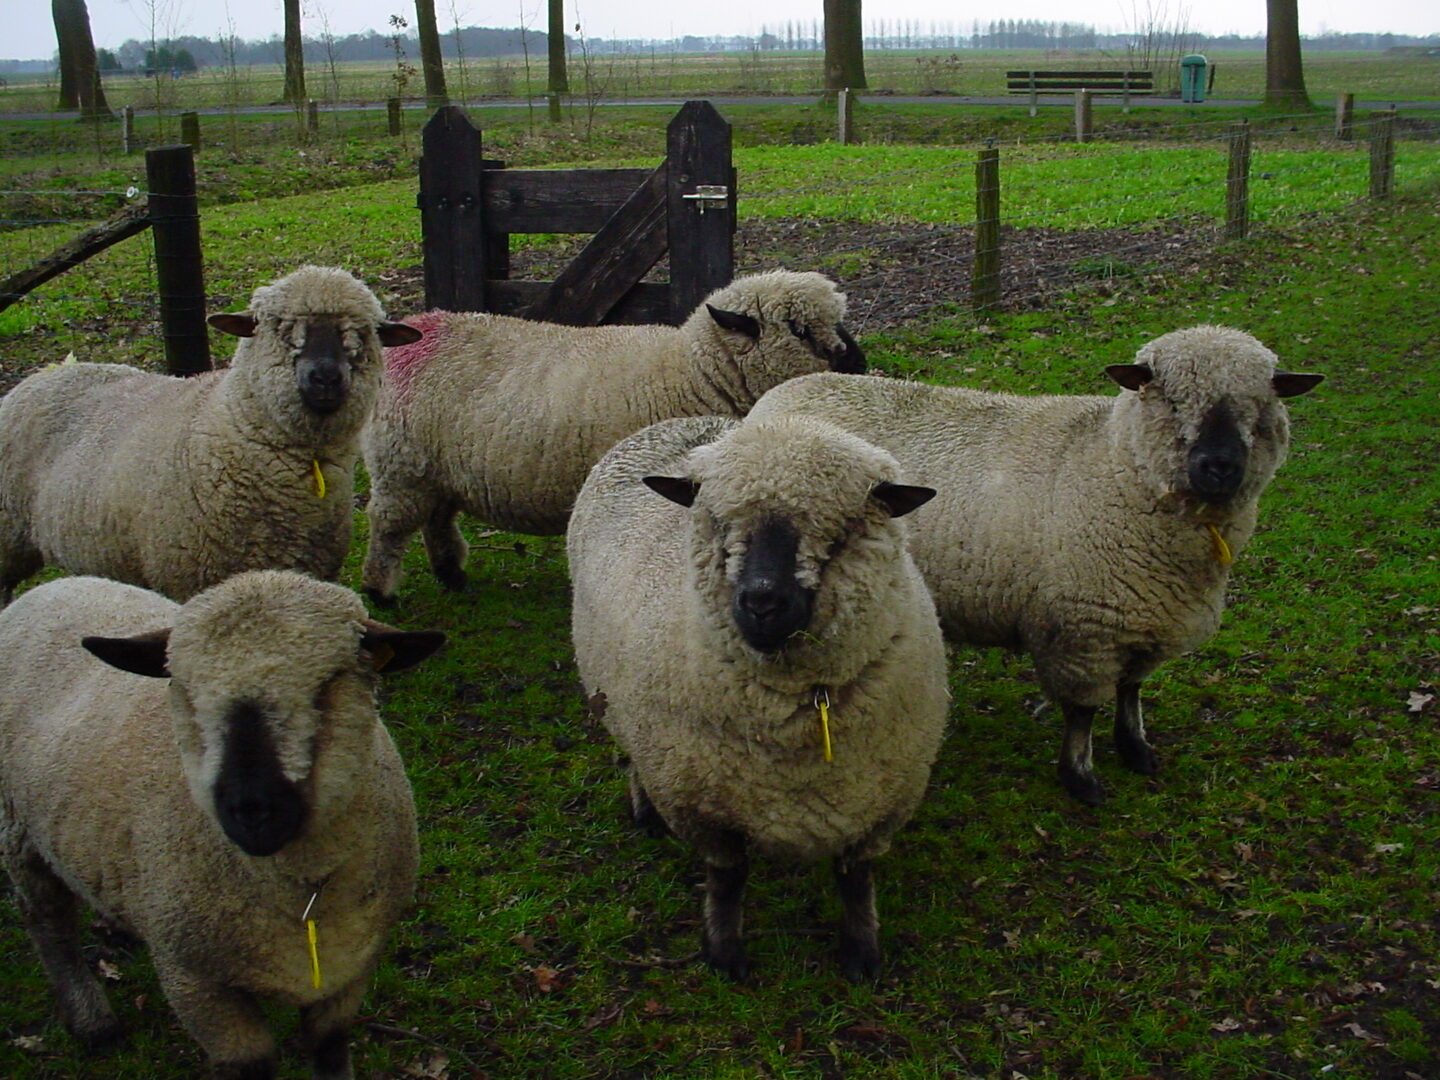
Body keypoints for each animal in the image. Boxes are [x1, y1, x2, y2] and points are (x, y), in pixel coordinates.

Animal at [0, 264, 420, 610]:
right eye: (277, 326)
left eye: (364, 333)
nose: (326, 378)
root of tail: (46, 372)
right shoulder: (190, 577)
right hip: (7, 534)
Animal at [0, 570, 443, 1077]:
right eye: (183, 688)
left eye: (329, 682)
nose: (250, 809)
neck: (304, 893)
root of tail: (56, 584)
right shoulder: (195, 981)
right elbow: (251, 1063)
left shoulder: (350, 970)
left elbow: (329, 1048)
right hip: (18, 829)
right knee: (47, 921)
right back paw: (92, 1021)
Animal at [360, 269, 864, 610]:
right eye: (799, 329)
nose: (857, 363)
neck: (692, 370)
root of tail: (416, 331)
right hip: (399, 464)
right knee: (389, 527)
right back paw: (380, 593)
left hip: (432, 469)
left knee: (437, 519)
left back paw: (452, 576)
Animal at [754, 325, 1324, 806]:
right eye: (1169, 397)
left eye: (1263, 402)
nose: (1219, 467)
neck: (1116, 465)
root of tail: (785, 393)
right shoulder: (1083, 628)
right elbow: (1083, 712)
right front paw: (1081, 778)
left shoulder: (1143, 618)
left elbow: (1131, 690)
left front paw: (1135, 749)